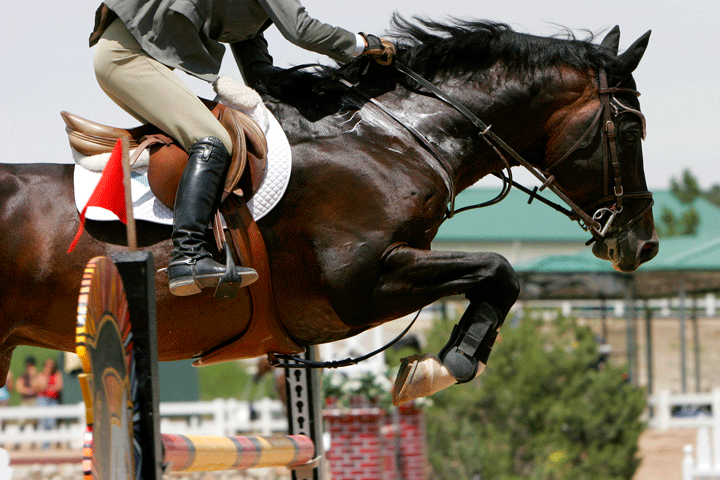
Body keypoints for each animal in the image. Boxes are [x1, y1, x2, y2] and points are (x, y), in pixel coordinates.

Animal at [0, 18, 657, 398]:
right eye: (632, 127)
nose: (641, 243)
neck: (391, 140)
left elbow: (497, 276)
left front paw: (437, 365)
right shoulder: (355, 284)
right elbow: (500, 269)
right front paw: (445, 367)